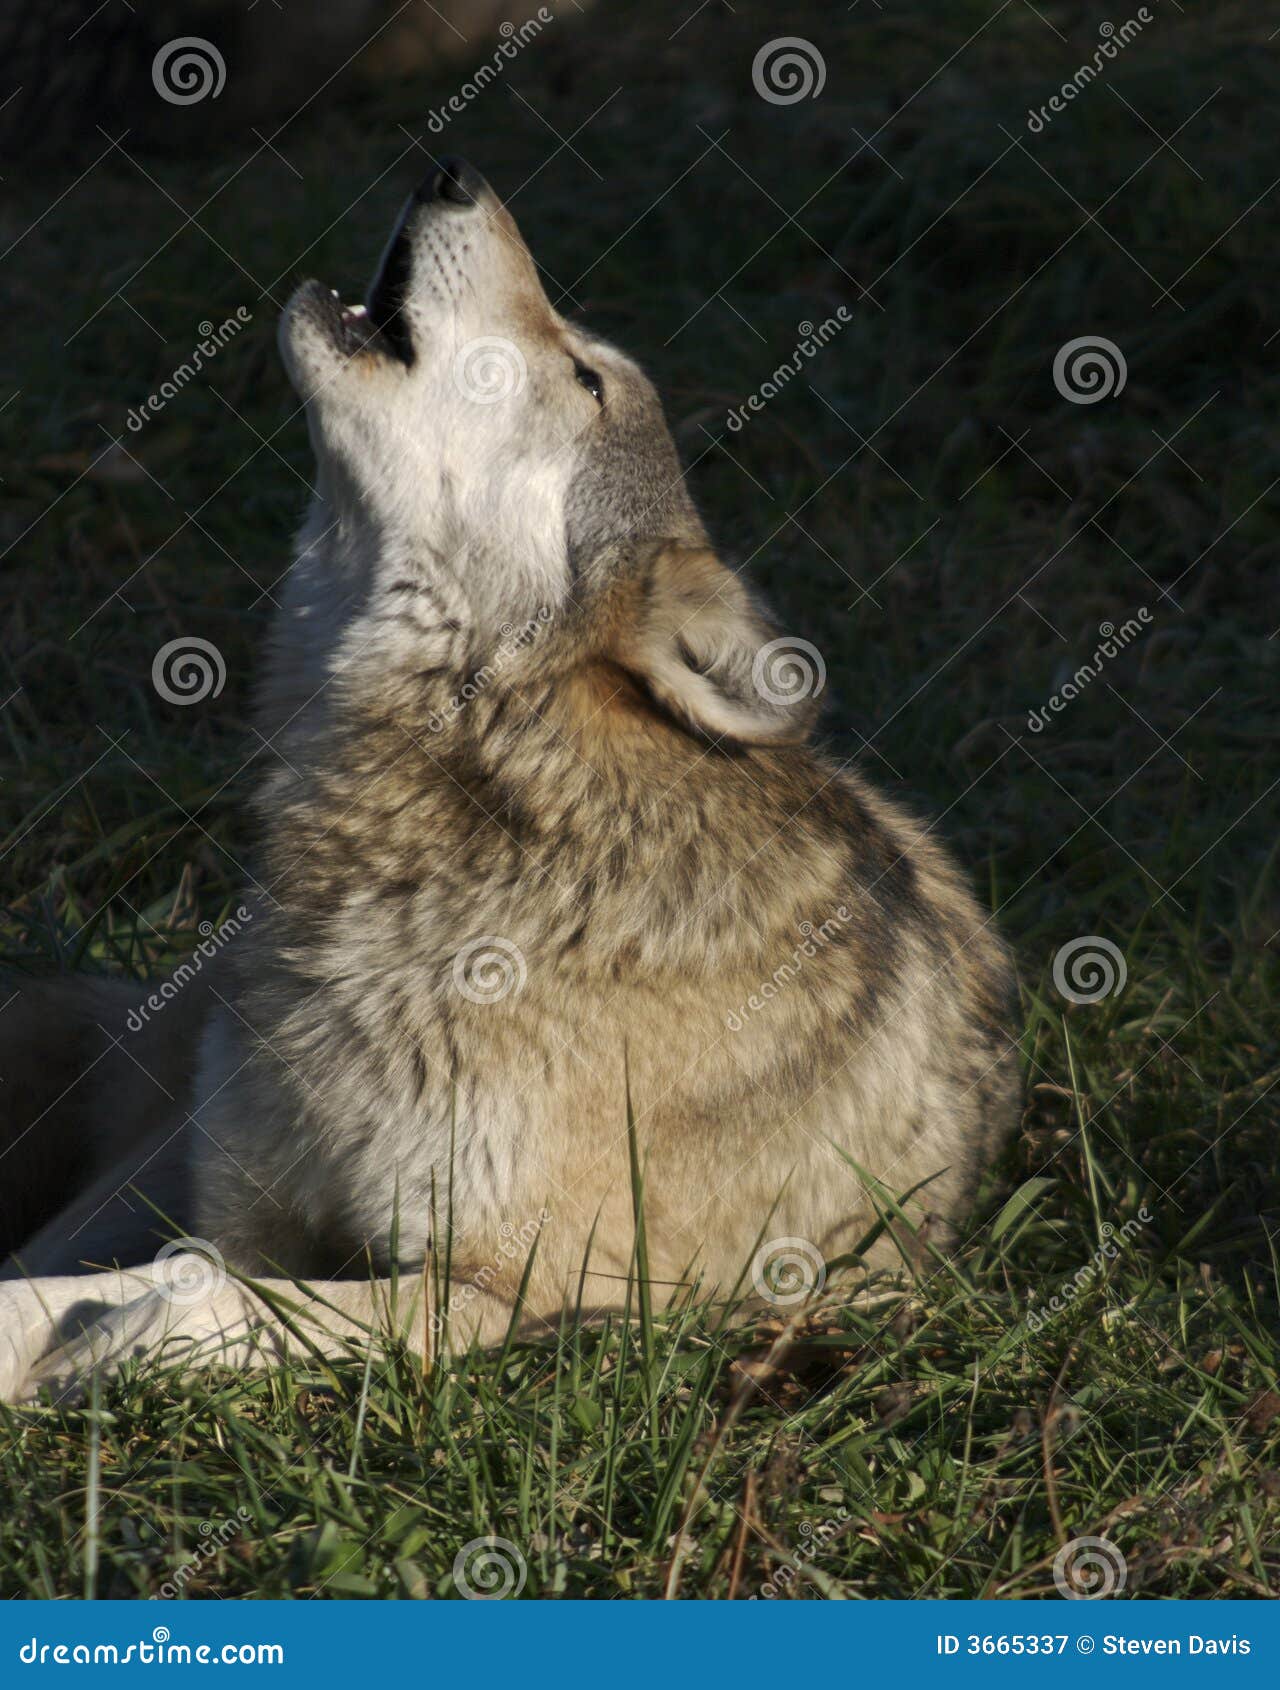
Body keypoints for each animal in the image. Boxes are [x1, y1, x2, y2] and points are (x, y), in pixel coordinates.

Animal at [0, 160, 1019, 1400]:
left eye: (583, 375)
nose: (453, 174)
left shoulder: (499, 1295)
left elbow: (237, 1300)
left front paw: (124, 1340)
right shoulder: (240, 1211)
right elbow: (83, 1289)